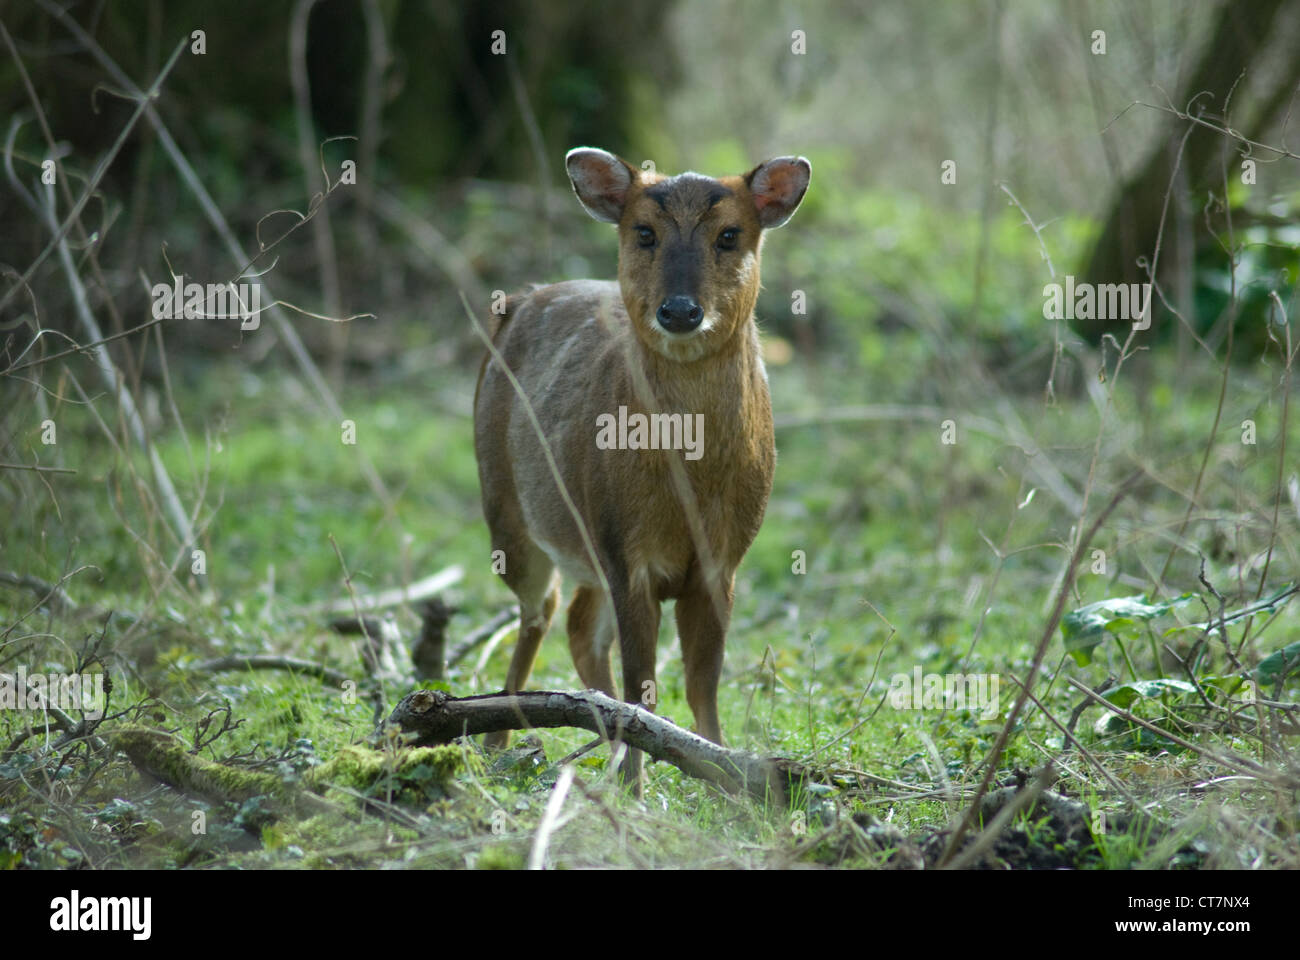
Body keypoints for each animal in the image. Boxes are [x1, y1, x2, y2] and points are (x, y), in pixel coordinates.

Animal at [473, 147, 810, 791]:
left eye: (729, 234)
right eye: (645, 232)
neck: (691, 486)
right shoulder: (625, 549)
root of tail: (521, 299)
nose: (679, 309)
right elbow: (643, 686)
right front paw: (637, 784)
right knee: (539, 612)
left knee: (579, 626)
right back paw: (502, 736)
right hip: (506, 506)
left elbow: (702, 683)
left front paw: (720, 769)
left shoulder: (722, 561)